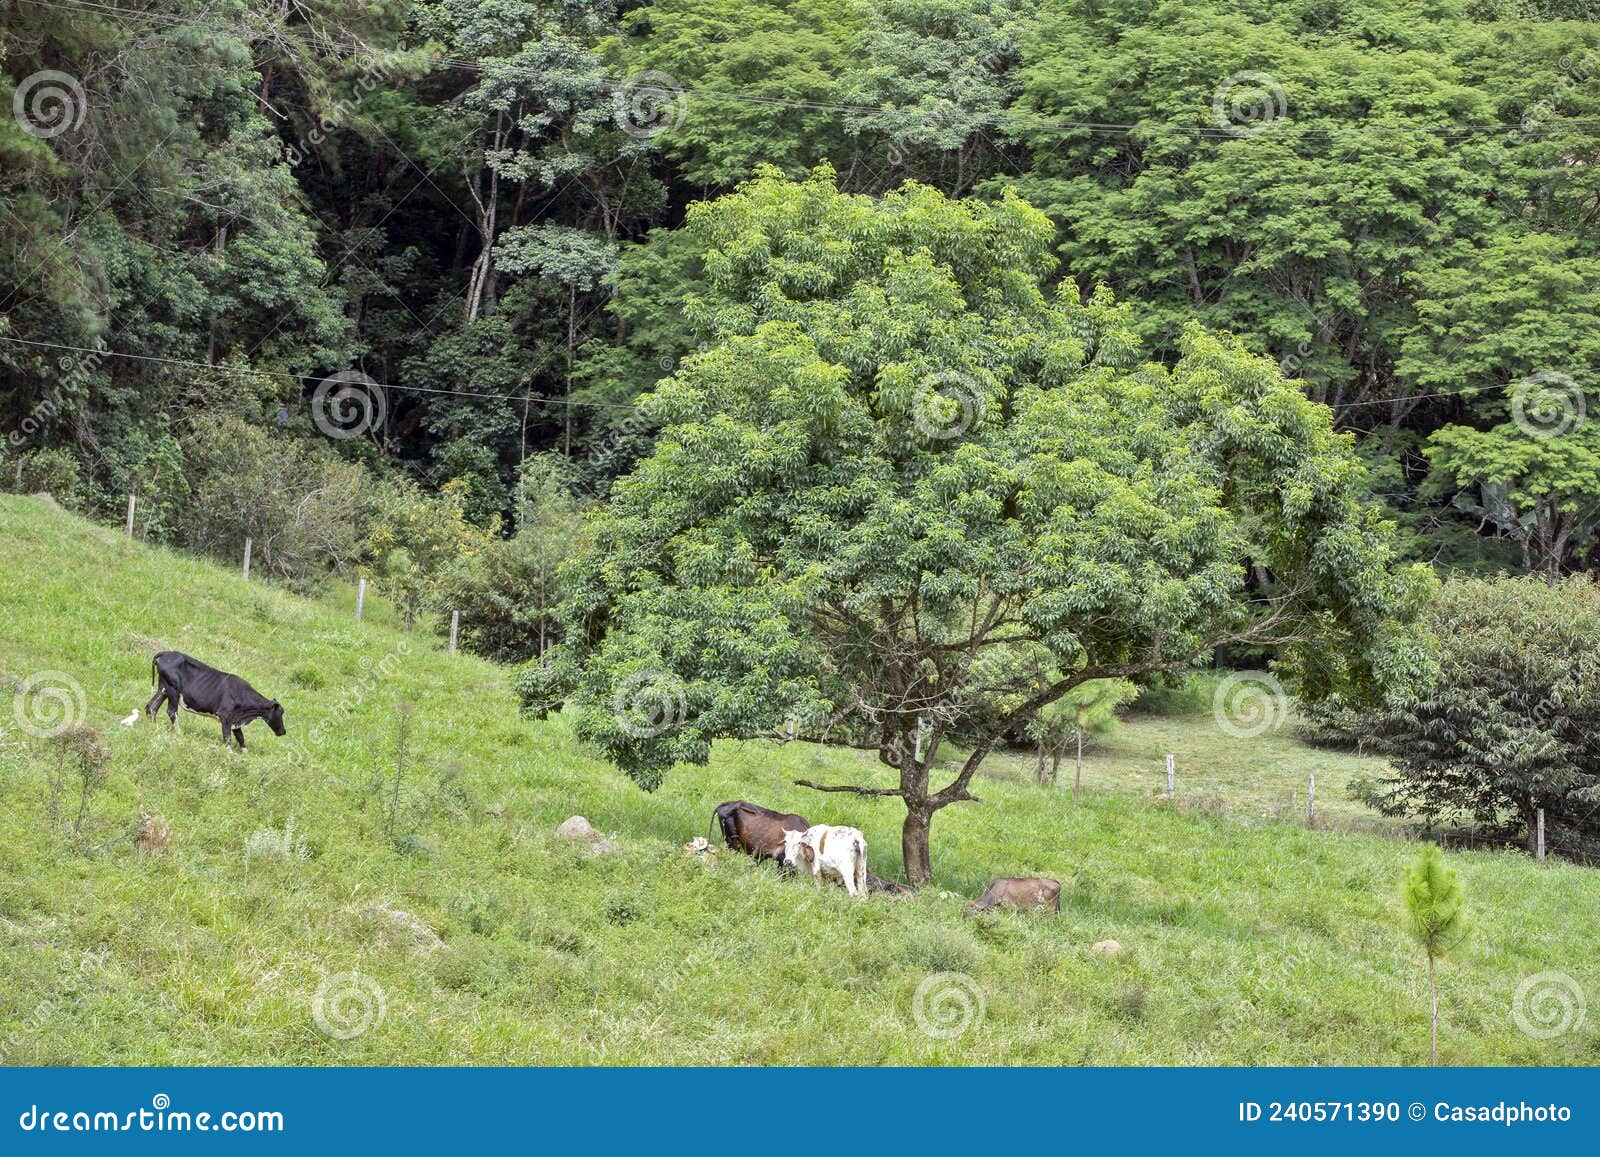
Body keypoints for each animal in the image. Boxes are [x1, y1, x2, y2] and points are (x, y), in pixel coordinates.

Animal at [146, 651, 286, 750]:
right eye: (280, 714)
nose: (283, 731)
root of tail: (166, 652)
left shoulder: (235, 721)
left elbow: (241, 739)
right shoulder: (225, 716)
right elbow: (228, 738)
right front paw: (230, 754)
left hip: (164, 688)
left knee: (151, 706)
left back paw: (154, 726)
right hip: (173, 689)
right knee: (171, 711)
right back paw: (179, 733)